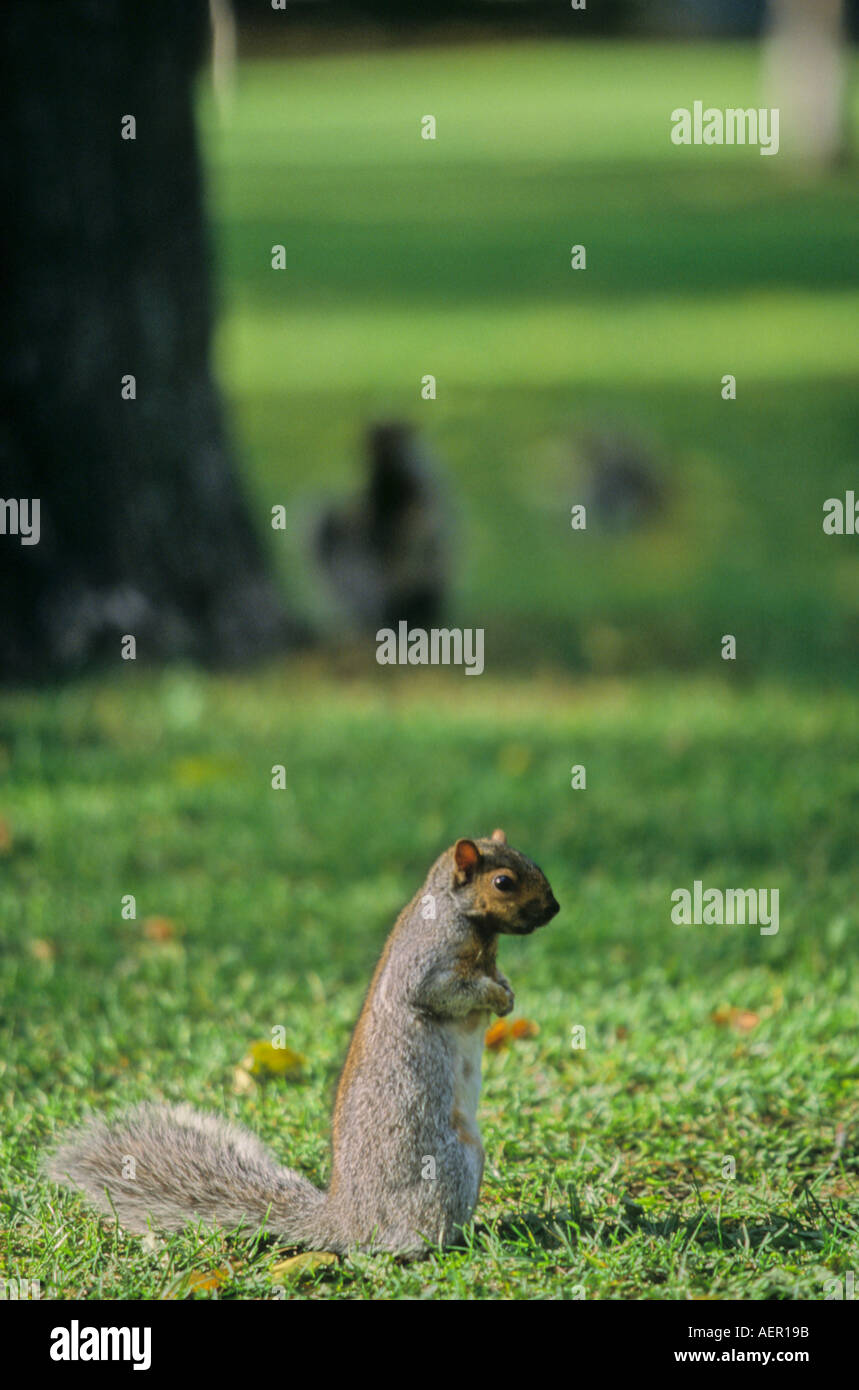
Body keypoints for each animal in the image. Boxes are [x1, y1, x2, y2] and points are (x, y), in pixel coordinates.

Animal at [46, 830, 559, 1256]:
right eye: (503, 882)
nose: (553, 908)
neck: (464, 920)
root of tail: (349, 1222)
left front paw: (506, 990)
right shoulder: (427, 965)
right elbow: (448, 992)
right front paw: (499, 997)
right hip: (448, 1167)